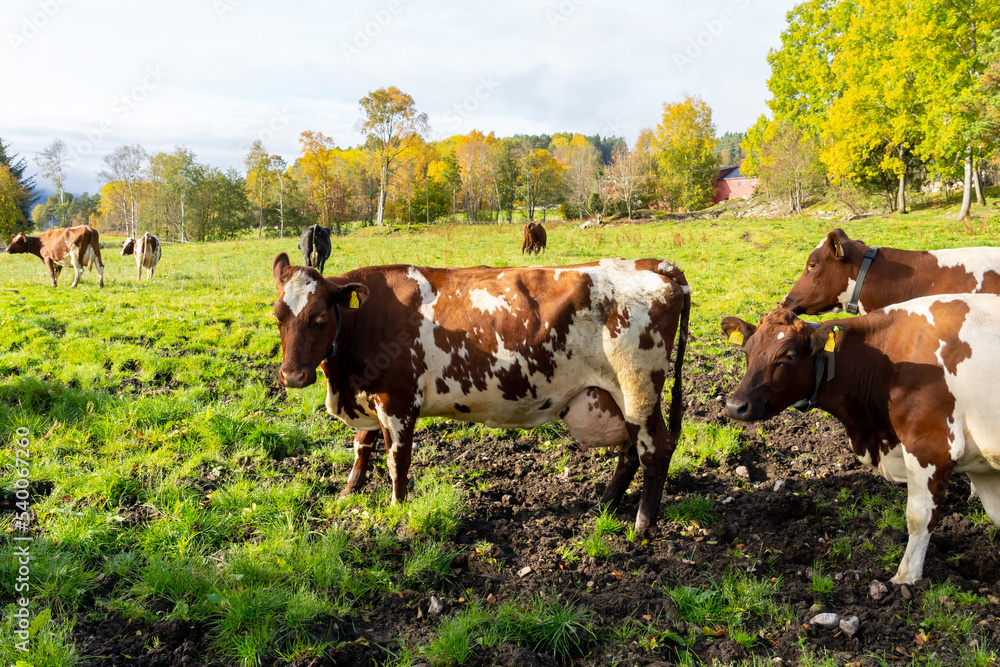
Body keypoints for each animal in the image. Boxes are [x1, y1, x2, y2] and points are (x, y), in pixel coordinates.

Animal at [272, 254, 690, 533]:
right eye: (277, 316)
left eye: (320, 317)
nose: (292, 375)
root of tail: (650, 264)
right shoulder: (369, 396)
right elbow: (362, 447)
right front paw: (349, 493)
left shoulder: (398, 401)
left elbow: (396, 461)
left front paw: (397, 509)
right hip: (619, 396)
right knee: (630, 452)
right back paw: (604, 505)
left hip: (638, 389)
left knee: (655, 450)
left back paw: (642, 525)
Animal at [721, 296, 1000, 584]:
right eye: (747, 352)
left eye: (788, 356)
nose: (734, 405)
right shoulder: (983, 463)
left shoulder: (930, 448)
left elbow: (919, 518)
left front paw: (905, 579)